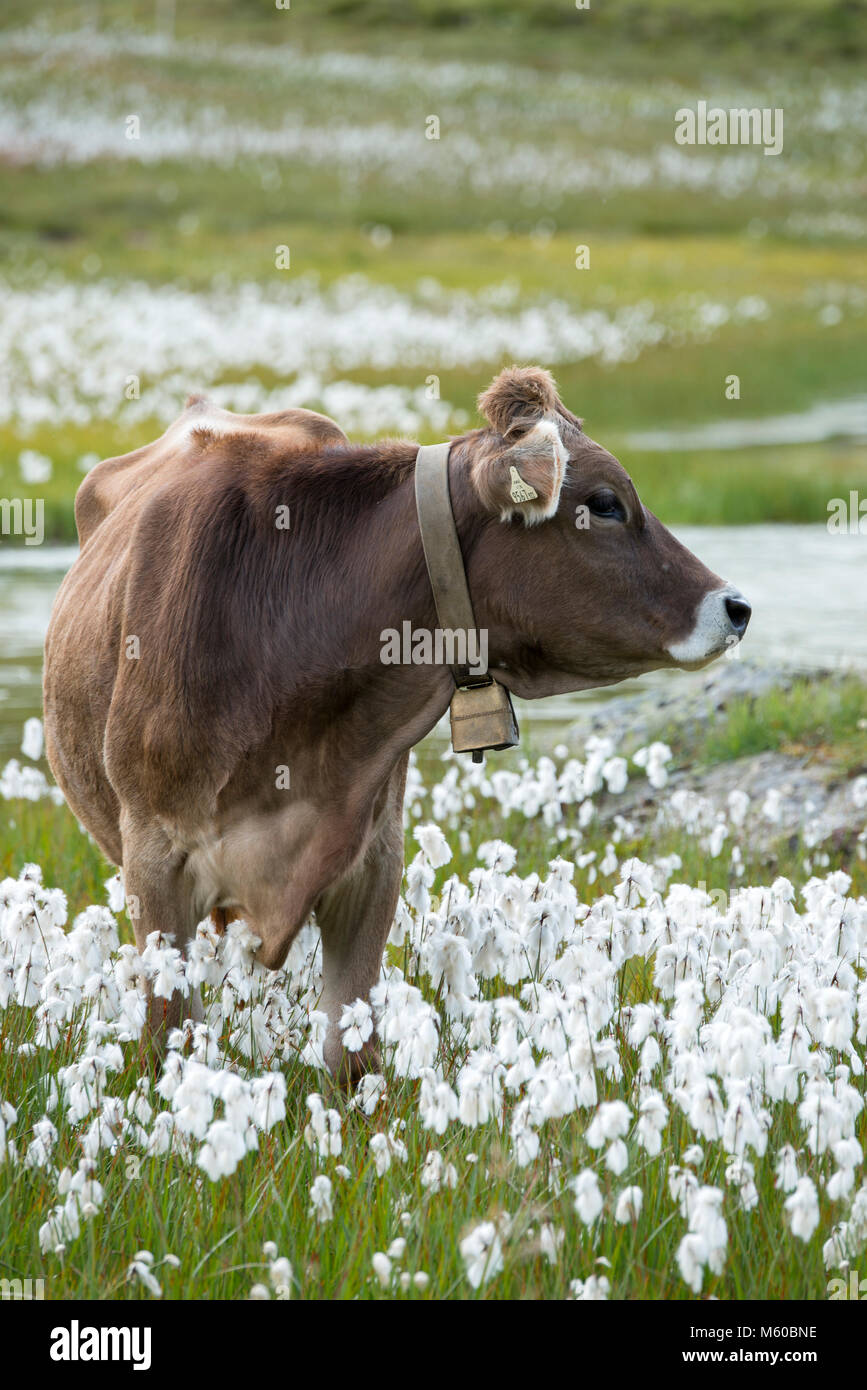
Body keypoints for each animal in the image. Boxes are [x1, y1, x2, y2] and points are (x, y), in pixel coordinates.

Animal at [43, 367, 751, 1082]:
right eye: (605, 503)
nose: (737, 606)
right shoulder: (153, 863)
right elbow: (169, 1039)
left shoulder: (373, 856)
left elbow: (352, 1057)